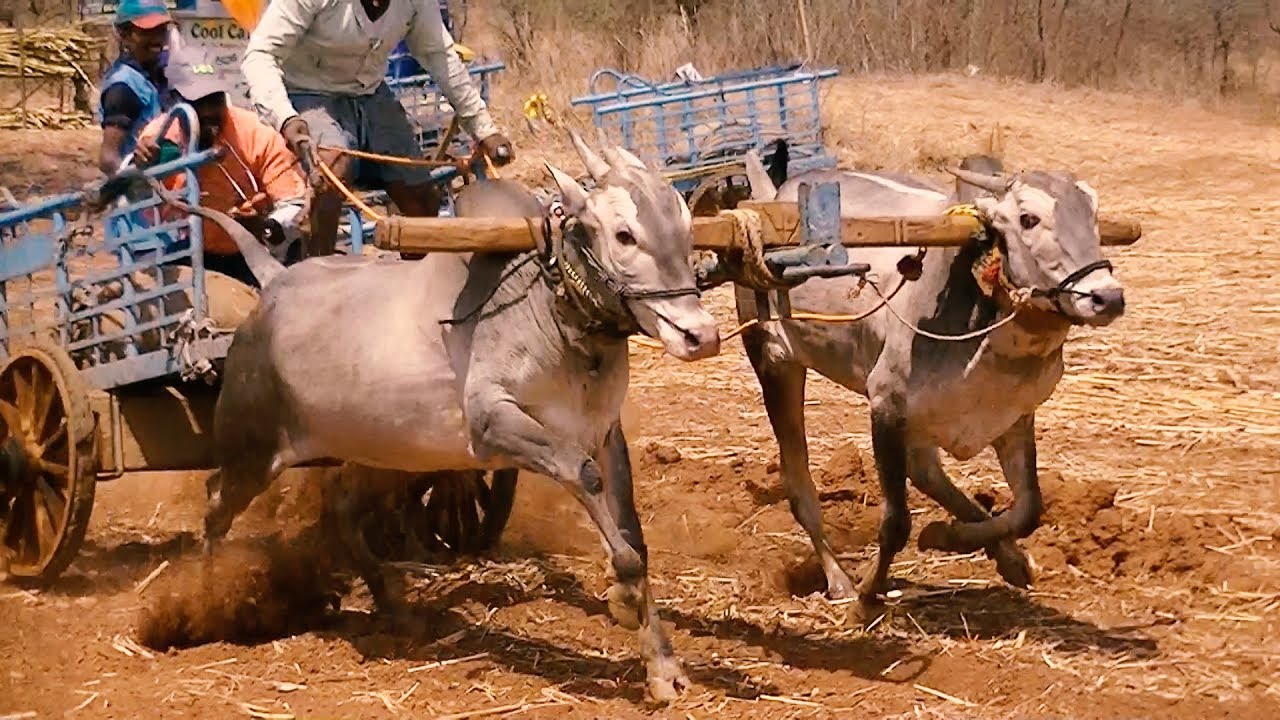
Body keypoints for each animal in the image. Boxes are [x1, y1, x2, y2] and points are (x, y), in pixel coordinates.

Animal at [185, 130, 718, 701]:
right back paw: (208, 600)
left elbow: (633, 534)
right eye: (624, 235)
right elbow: (589, 486)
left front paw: (663, 666)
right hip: (252, 450)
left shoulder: (604, 431)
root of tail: (273, 284)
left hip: (382, 452)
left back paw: (392, 605)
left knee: (340, 507)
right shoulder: (495, 424)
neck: (551, 310)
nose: (701, 336)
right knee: (215, 503)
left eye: (687, 226)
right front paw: (621, 596)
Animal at [735, 150, 1126, 619]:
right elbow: (897, 522)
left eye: (1094, 214)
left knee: (927, 473)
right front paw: (867, 596)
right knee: (800, 484)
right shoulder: (885, 405)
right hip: (775, 360)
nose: (1107, 298)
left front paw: (954, 538)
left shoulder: (1014, 416)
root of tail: (770, 196)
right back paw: (839, 581)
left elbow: (1028, 508)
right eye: (1028, 218)